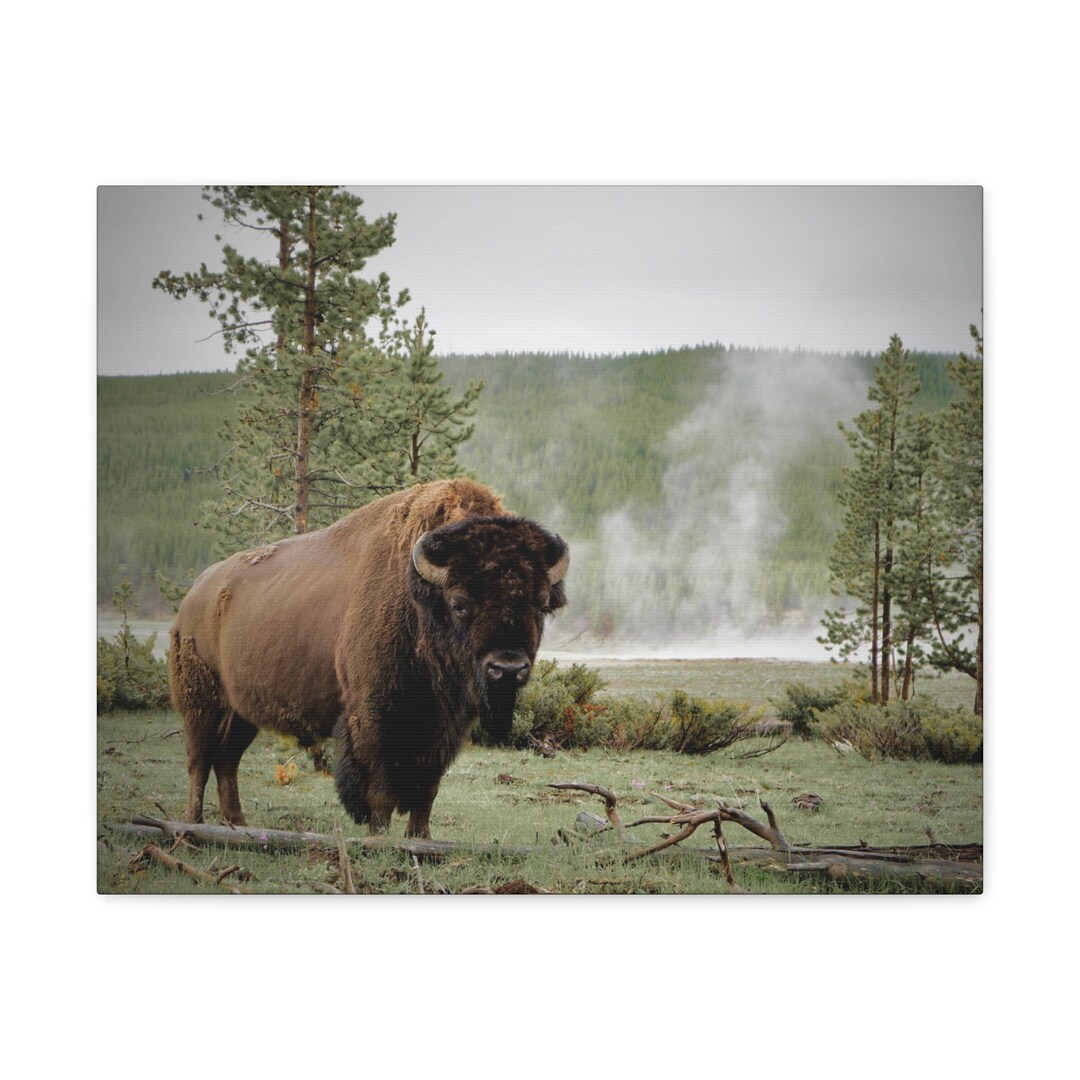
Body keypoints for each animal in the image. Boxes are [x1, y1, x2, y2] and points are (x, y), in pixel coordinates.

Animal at [168, 479, 569, 838]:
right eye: (459, 604)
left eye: (541, 604)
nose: (508, 668)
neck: (417, 600)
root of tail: (194, 597)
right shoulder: (375, 716)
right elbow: (381, 788)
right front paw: (379, 835)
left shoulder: (443, 727)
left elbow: (427, 789)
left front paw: (420, 838)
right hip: (202, 703)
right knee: (199, 760)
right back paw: (193, 822)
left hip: (241, 712)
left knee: (227, 760)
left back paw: (237, 823)